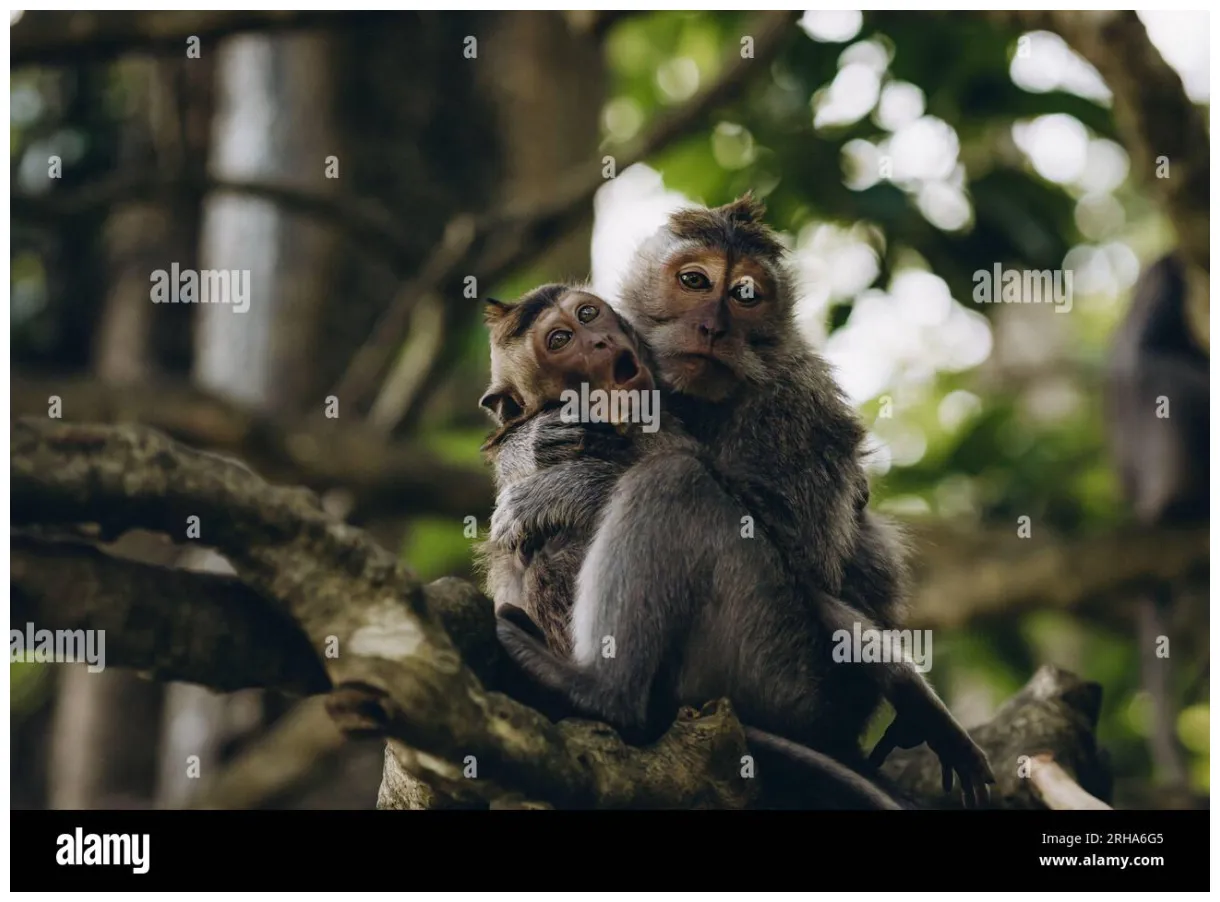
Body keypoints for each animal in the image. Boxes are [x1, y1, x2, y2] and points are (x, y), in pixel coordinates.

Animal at [492, 198, 993, 806]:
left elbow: (801, 552)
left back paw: (602, 692)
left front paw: (567, 485)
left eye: (745, 294)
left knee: (677, 481)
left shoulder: (794, 399)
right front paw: (528, 446)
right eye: (694, 281)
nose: (714, 325)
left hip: (774, 668)